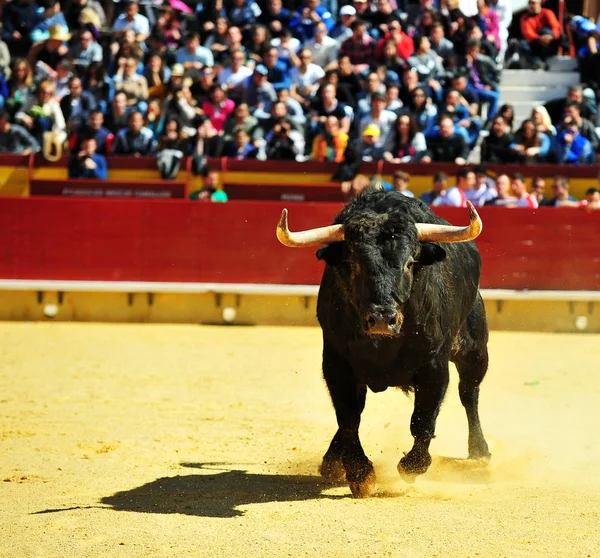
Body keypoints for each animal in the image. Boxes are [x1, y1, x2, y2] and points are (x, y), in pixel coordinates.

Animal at [276, 191, 492, 498]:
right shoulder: (337, 363)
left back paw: (480, 453)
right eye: (353, 264)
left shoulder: (434, 366)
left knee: (469, 393)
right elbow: (348, 418)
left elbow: (423, 420)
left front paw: (410, 467)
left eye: (410, 263)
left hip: (475, 350)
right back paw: (332, 461)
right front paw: (359, 474)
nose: (381, 319)